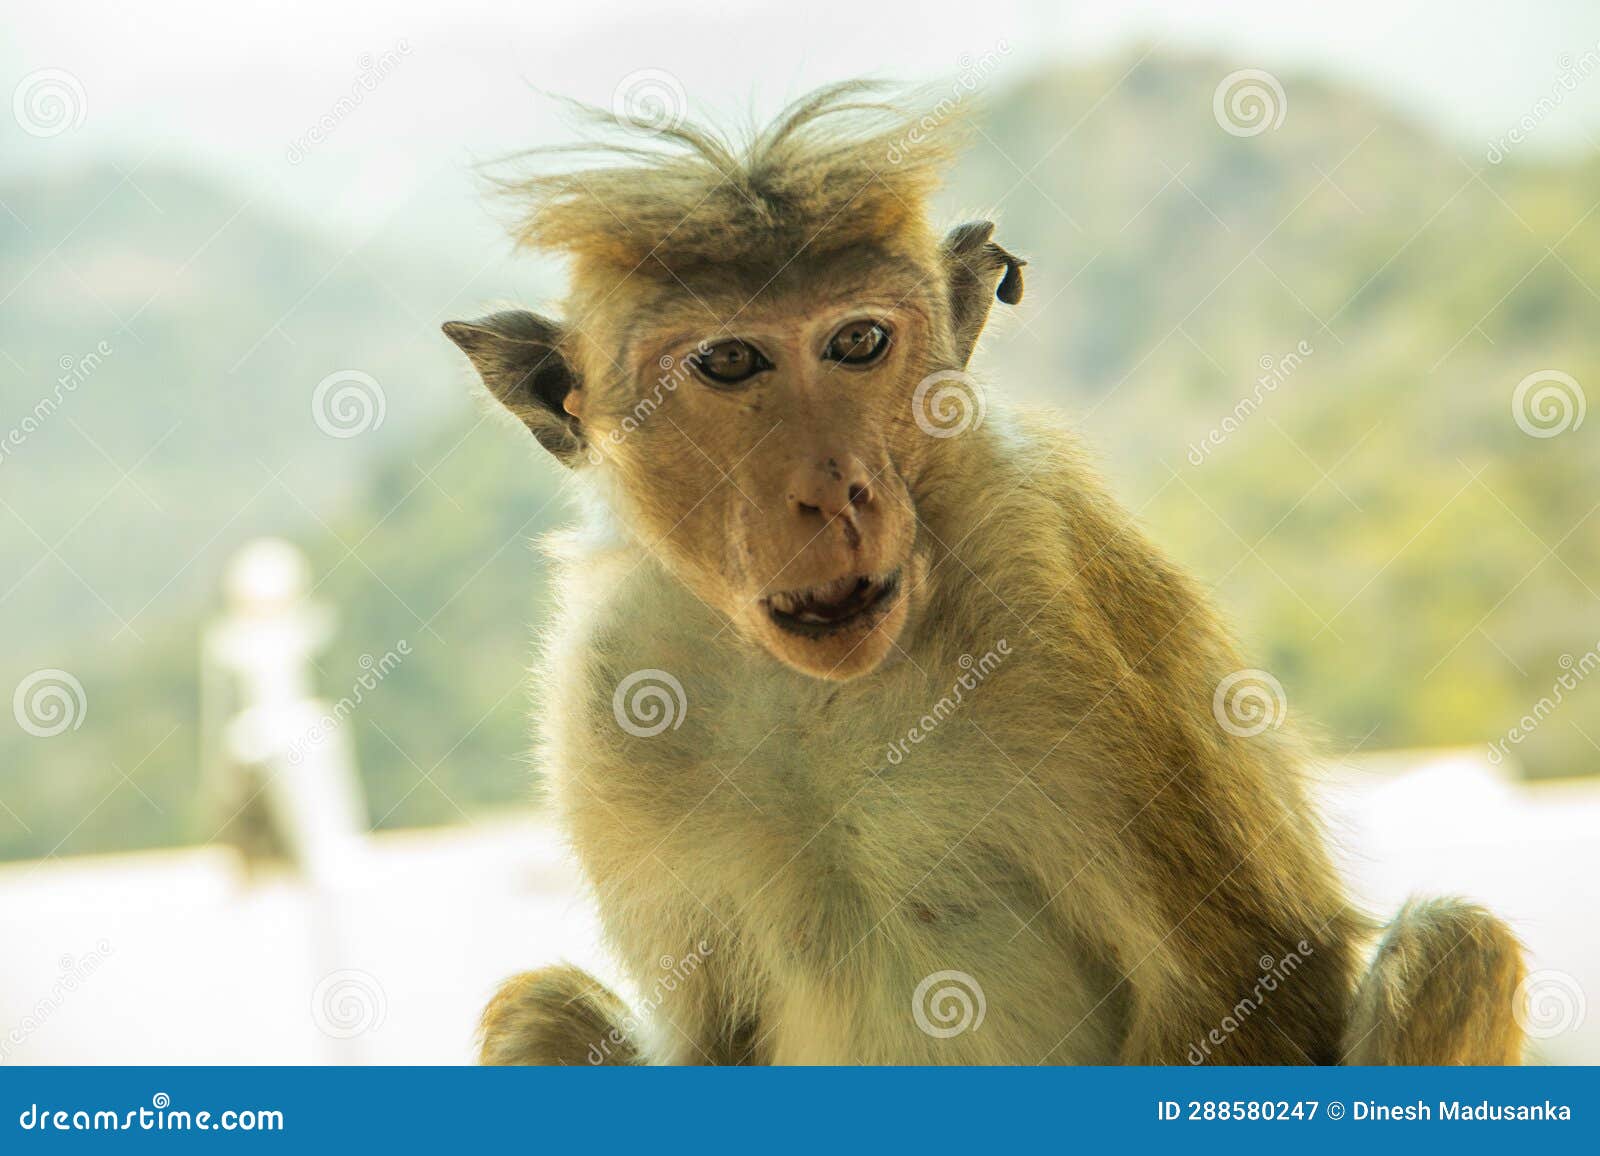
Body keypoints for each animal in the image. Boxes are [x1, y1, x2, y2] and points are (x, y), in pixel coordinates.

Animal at [443, 83, 1526, 1065]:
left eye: (858, 342)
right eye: (730, 362)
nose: (835, 491)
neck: (815, 688)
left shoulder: (1041, 565)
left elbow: (1239, 975)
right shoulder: (608, 684)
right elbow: (704, 1035)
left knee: (1451, 946)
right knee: (541, 1010)